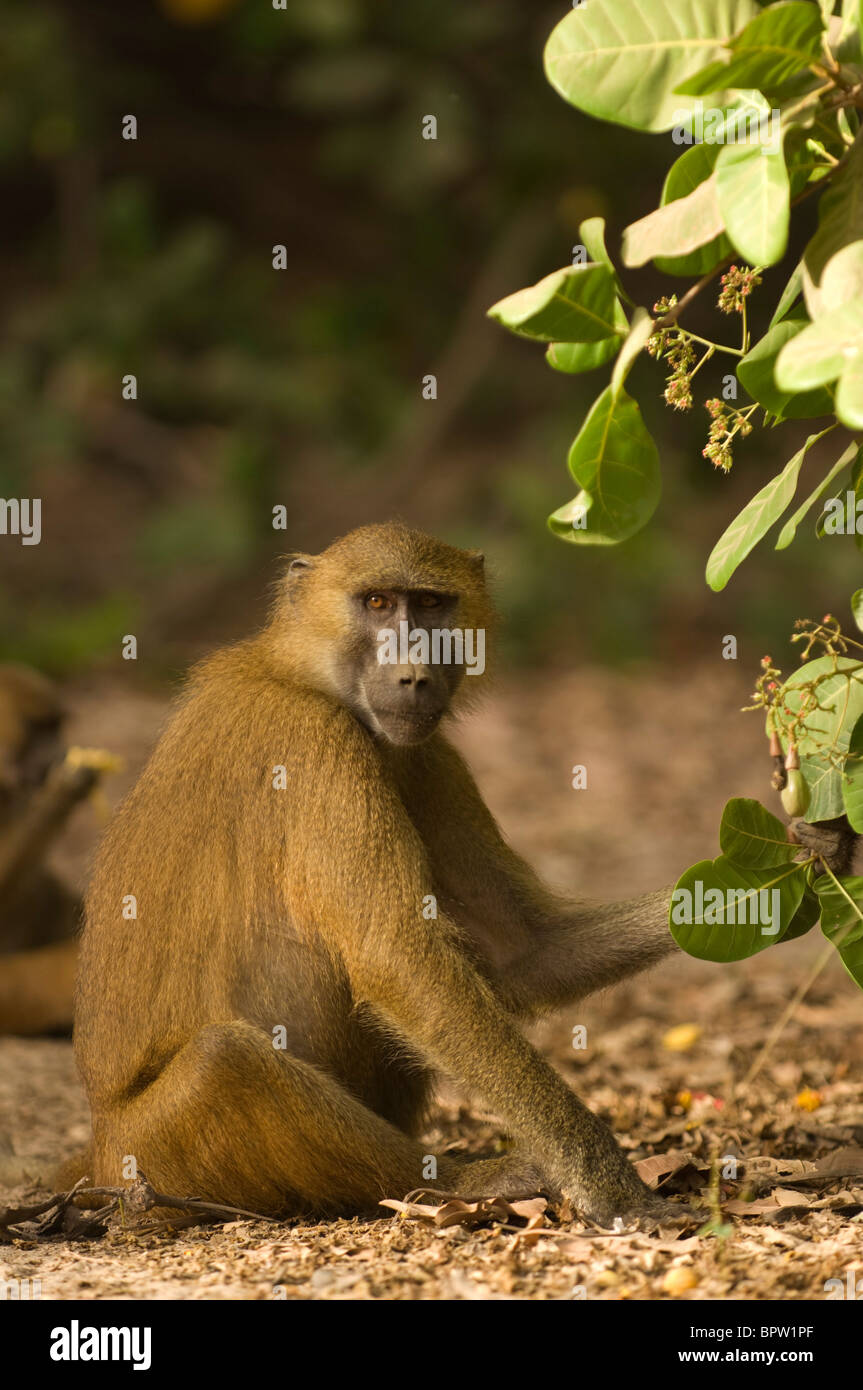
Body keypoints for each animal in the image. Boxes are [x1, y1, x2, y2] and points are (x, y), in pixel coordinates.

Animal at [72, 523, 713, 1229]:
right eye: (377, 604)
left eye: (430, 605)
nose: (413, 675)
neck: (305, 676)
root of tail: (101, 1149)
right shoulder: (315, 743)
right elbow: (401, 960)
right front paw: (610, 1184)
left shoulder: (427, 755)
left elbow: (527, 953)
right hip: (157, 1149)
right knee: (226, 1061)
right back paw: (469, 1181)